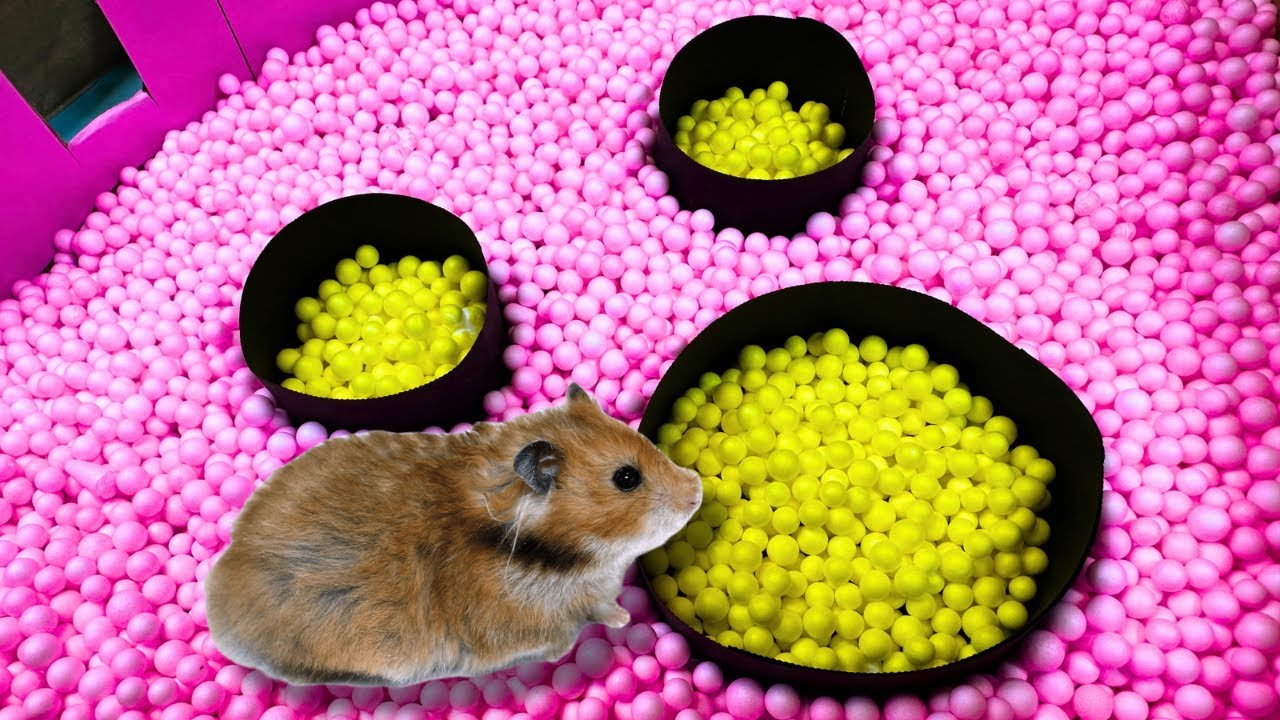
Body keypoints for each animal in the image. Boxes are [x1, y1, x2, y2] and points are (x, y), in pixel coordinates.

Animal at [204, 384, 702, 687]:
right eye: (626, 478)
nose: (697, 488)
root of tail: (220, 591)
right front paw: (596, 633)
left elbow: (605, 606)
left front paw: (623, 617)